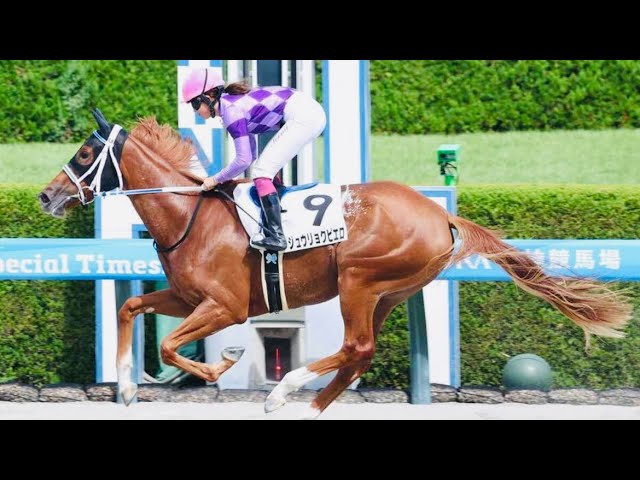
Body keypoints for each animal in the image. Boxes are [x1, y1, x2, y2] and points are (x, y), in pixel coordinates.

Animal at [38, 109, 632, 419]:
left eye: (86, 154)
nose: (47, 196)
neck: (192, 216)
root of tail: (440, 214)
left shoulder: (226, 306)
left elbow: (167, 345)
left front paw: (223, 364)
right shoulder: (188, 298)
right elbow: (132, 307)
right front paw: (125, 386)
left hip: (360, 280)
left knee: (356, 346)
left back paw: (285, 392)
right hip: (391, 290)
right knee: (359, 354)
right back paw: (309, 404)